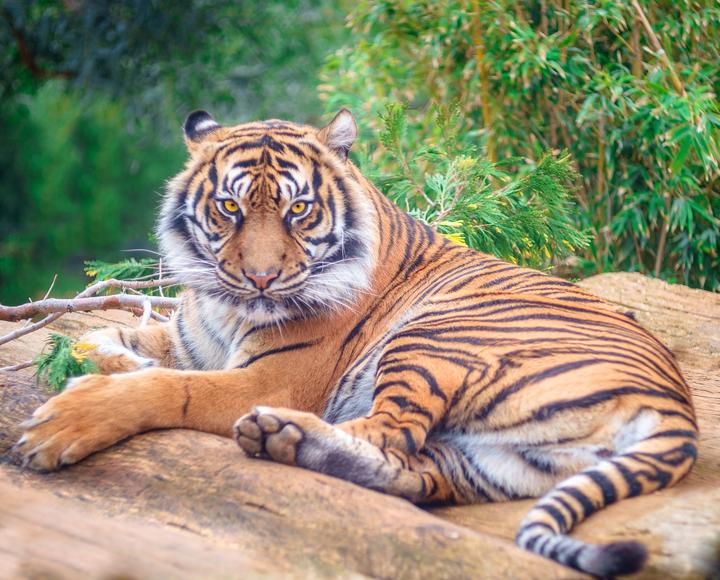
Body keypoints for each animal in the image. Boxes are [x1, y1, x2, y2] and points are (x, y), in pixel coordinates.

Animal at [15, 108, 697, 577]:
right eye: (230, 207)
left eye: (298, 211)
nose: (260, 278)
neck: (226, 305)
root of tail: (678, 408)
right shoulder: (189, 339)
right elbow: (118, 335)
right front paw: (97, 354)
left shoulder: (271, 377)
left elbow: (168, 387)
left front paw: (63, 421)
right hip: (497, 462)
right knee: (412, 473)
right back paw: (287, 442)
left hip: (433, 339)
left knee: (391, 429)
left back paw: (280, 430)